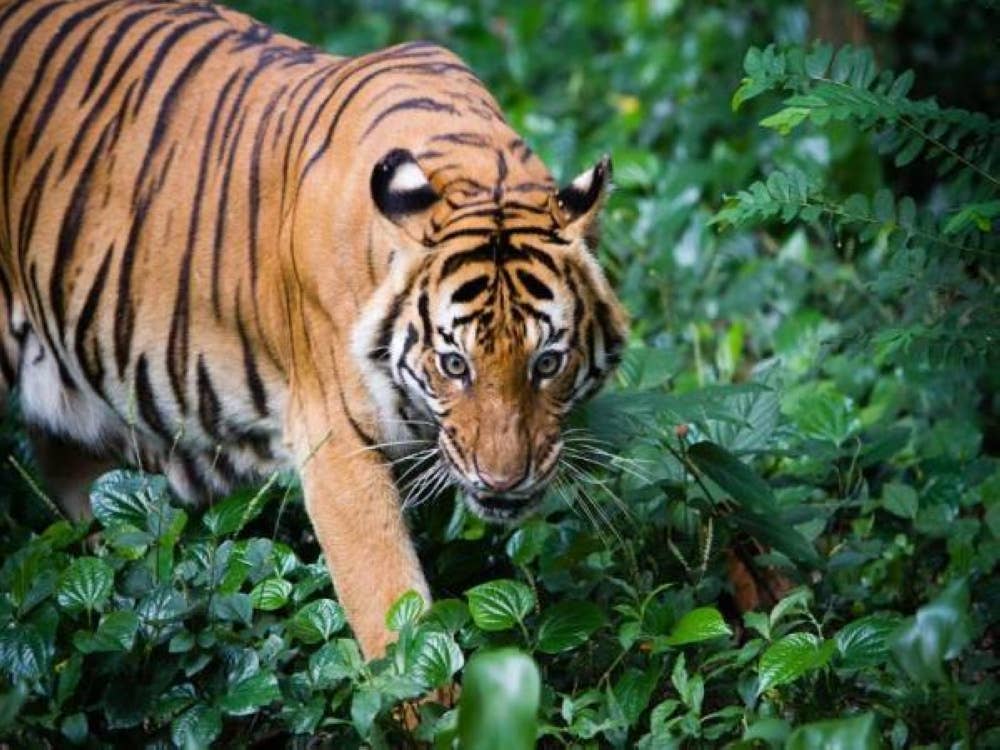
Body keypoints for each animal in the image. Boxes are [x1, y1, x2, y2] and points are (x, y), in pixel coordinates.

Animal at [0, 0, 628, 658]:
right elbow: (391, 612)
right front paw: (420, 682)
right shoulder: (335, 444)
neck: (473, 171)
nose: (502, 480)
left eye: (547, 362)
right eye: (455, 364)